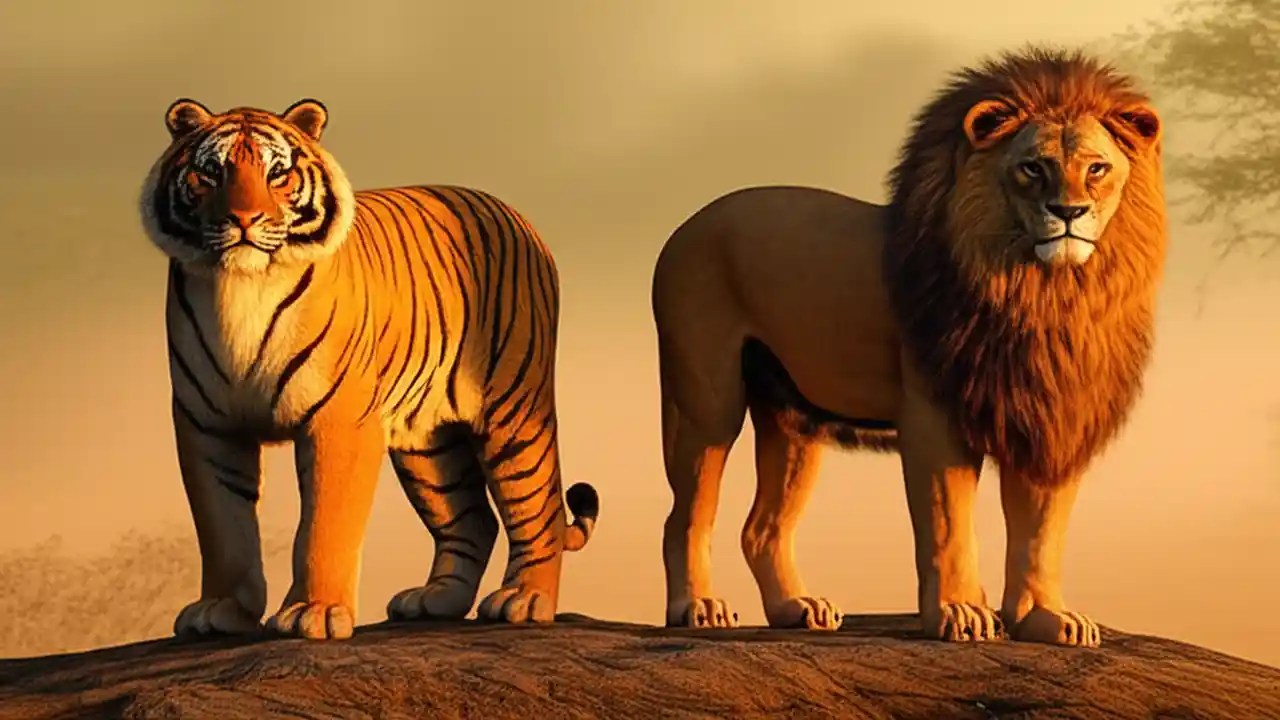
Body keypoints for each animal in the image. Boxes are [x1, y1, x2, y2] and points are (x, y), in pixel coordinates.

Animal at [137, 97, 600, 641]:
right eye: (210, 172)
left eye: (278, 174)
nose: (244, 219)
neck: (241, 286)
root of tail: (511, 211)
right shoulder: (206, 423)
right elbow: (222, 525)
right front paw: (221, 609)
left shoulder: (338, 420)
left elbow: (324, 525)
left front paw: (314, 612)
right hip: (428, 443)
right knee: (472, 519)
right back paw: (436, 599)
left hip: (514, 411)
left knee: (538, 506)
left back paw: (524, 600)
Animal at [650, 47, 1166, 646]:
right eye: (1033, 167)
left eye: (1097, 168)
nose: (1068, 212)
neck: (1043, 293)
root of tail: (686, 224)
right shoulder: (936, 415)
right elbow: (948, 525)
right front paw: (961, 613)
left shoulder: (1050, 414)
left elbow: (1042, 531)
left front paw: (1044, 617)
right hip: (707, 401)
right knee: (685, 515)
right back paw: (697, 606)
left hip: (793, 418)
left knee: (762, 528)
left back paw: (796, 608)